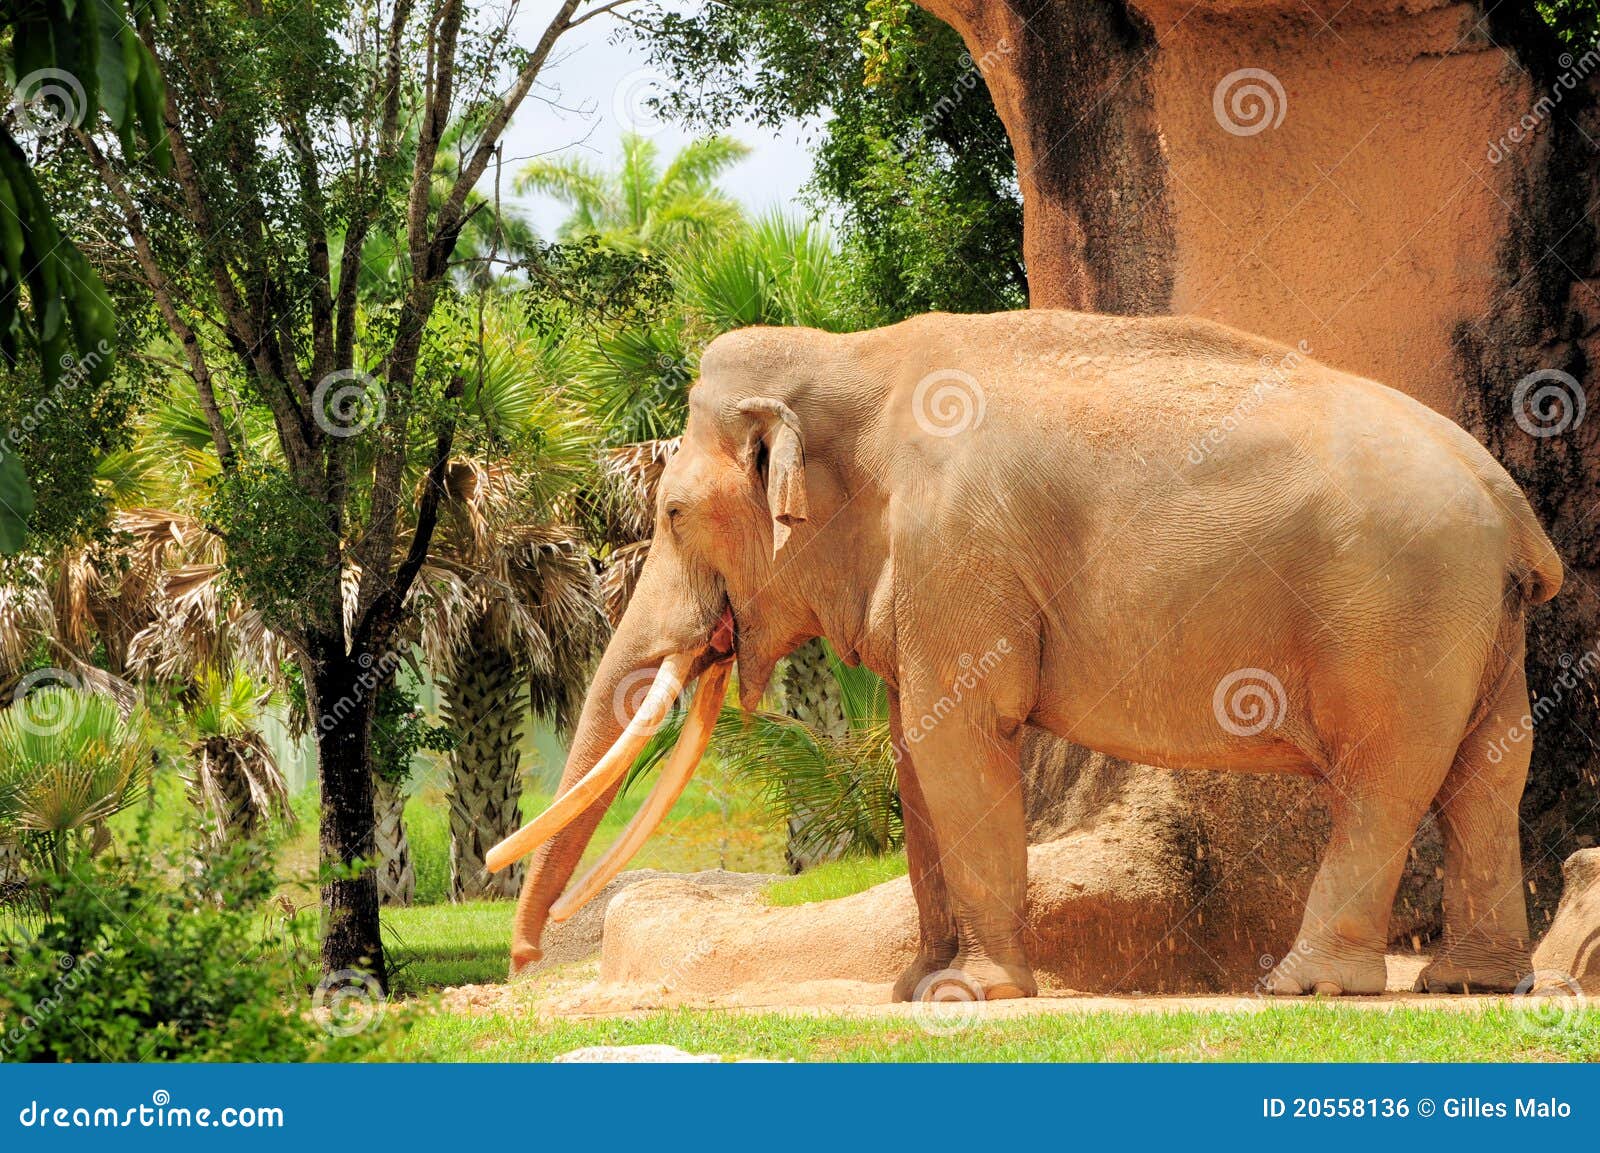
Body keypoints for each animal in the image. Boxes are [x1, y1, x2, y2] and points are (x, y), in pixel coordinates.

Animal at [488, 309, 1563, 1000]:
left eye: (671, 514)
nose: (526, 964)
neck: (854, 362)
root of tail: (1509, 500)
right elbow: (916, 757)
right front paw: (915, 988)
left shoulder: (958, 549)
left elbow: (959, 742)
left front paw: (974, 992)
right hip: (1478, 617)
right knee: (1489, 770)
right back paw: (1471, 983)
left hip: (1403, 608)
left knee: (1387, 778)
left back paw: (1308, 987)